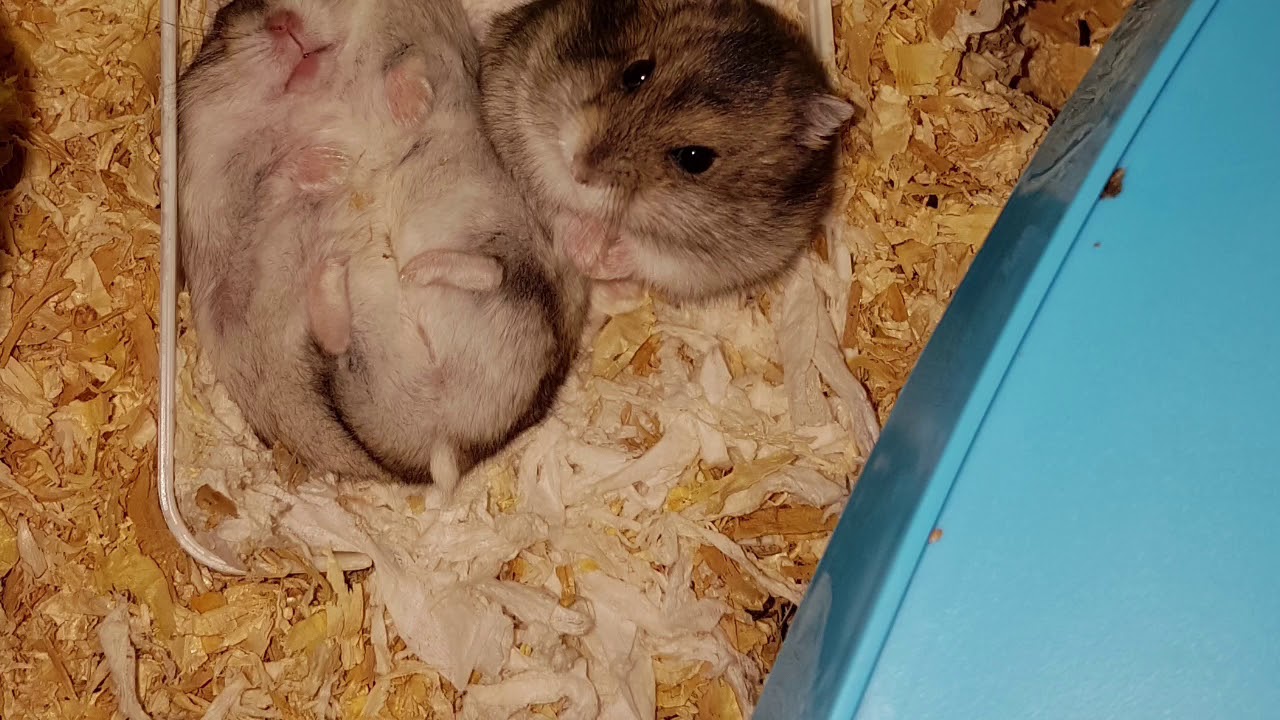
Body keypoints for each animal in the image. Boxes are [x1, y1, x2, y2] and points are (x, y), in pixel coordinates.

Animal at [179, 0, 587, 490]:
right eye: (219, 28)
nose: (284, 22)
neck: (320, 92)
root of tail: (445, 438)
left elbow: (413, 60)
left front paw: (404, 108)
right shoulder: (230, 226)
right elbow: (270, 188)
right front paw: (331, 166)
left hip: (529, 281)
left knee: (492, 273)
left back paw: (414, 269)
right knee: (338, 343)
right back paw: (341, 274)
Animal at [478, 0, 855, 303]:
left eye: (695, 158)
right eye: (636, 72)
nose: (579, 171)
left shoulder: (716, 261)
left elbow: (647, 256)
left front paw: (599, 257)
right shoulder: (521, 114)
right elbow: (555, 204)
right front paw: (587, 249)